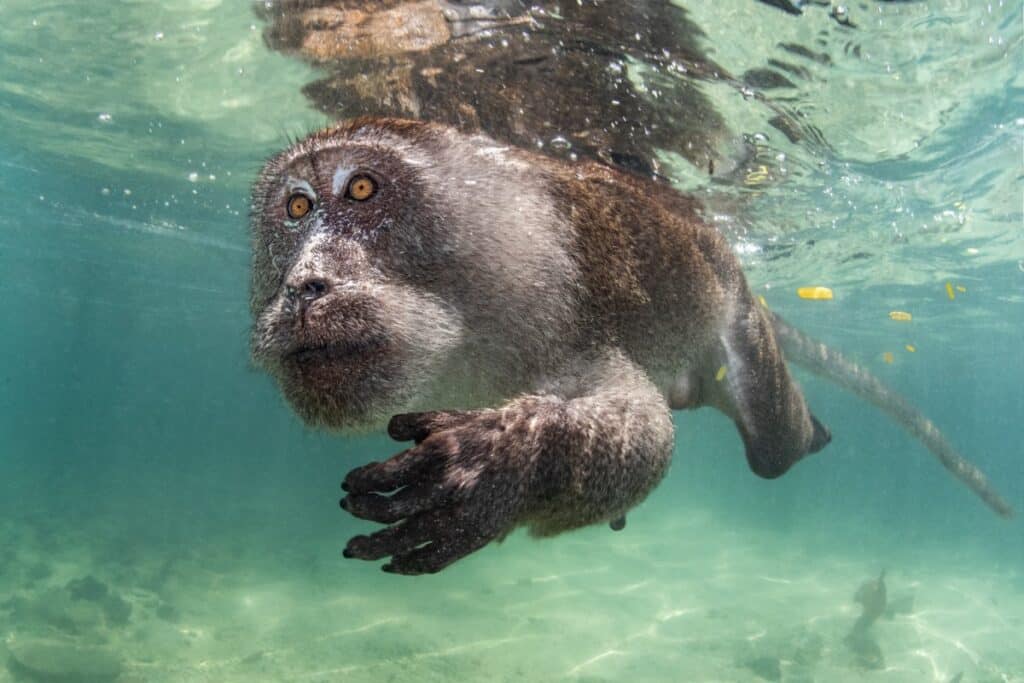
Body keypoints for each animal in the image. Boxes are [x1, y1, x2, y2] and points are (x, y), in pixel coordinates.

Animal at [250, 117, 1011, 575]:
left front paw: (498, 466)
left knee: (769, 444)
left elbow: (641, 429)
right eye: (297, 208)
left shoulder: (563, 309)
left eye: (362, 187)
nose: (304, 284)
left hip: (740, 322)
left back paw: (800, 431)